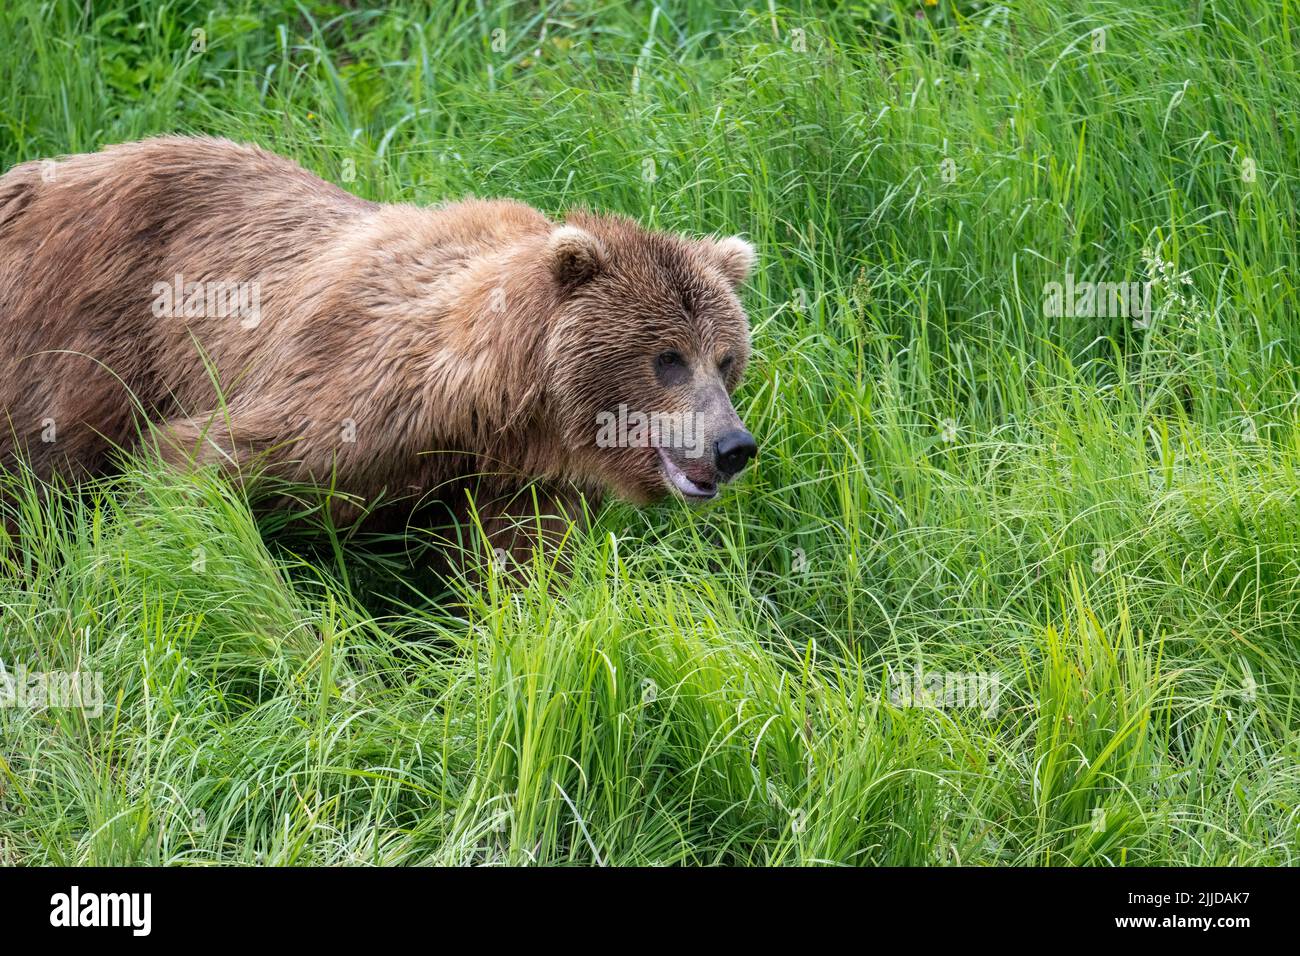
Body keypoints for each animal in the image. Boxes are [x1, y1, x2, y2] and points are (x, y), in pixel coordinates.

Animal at [0, 136, 758, 562]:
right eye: (667, 357)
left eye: (726, 360)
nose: (733, 446)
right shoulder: (340, 393)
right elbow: (196, 467)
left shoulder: (513, 482)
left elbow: (519, 567)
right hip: (81, 328)